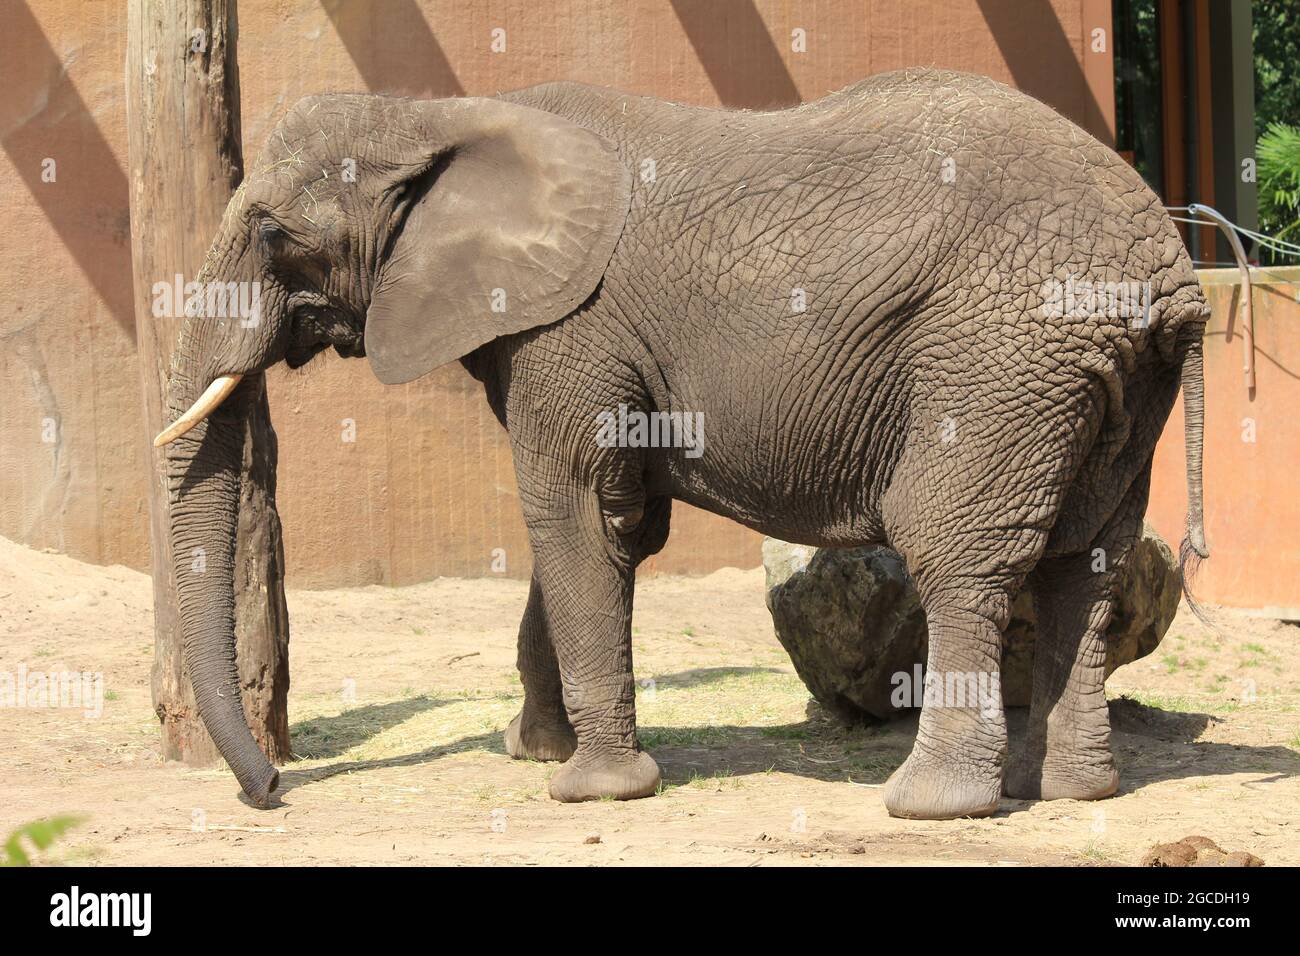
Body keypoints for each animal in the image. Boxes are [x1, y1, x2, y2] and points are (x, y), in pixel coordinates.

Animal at [155, 68, 1209, 820]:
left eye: (274, 236)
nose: (271, 791)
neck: (436, 114)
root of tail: (1172, 273)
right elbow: (614, 523)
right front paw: (537, 751)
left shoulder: (571, 329)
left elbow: (570, 508)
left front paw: (588, 791)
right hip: (1107, 383)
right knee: (1088, 559)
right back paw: (1069, 793)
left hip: (999, 363)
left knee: (962, 555)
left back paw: (930, 805)